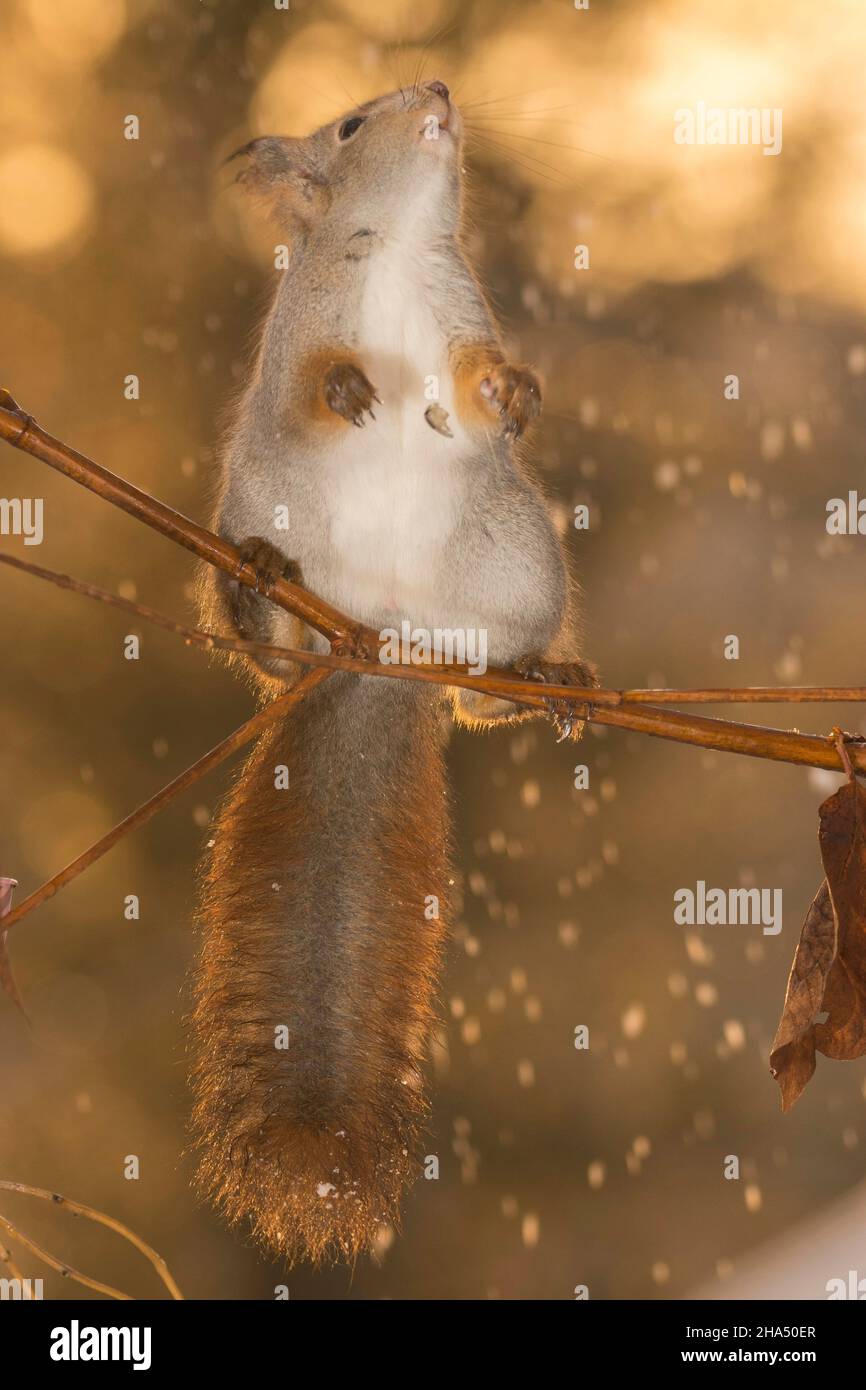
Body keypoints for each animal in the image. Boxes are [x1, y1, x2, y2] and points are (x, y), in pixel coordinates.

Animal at [190, 79, 597, 1266]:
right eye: (347, 125)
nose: (442, 93)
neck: (403, 240)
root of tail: (375, 640)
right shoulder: (300, 330)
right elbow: (304, 384)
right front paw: (349, 387)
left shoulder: (461, 315)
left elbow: (472, 372)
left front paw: (514, 391)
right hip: (258, 518)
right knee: (265, 654)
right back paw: (263, 590)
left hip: (513, 562)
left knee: (475, 690)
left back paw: (539, 675)